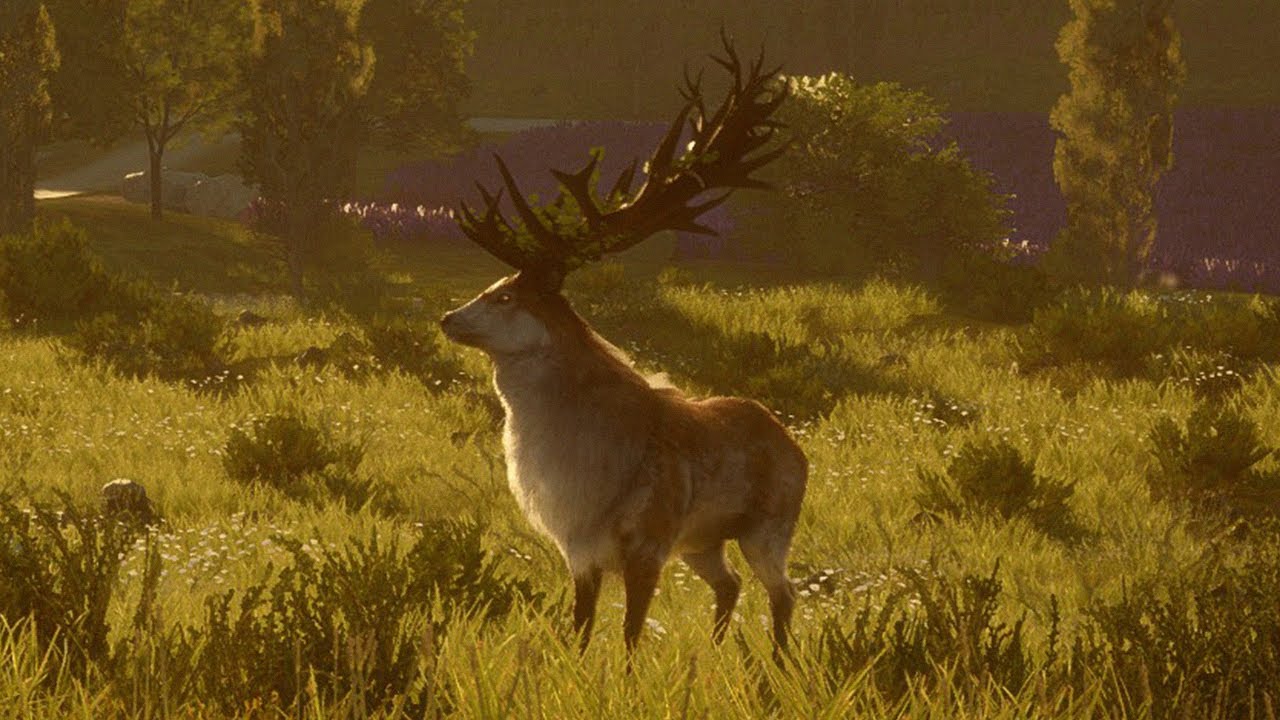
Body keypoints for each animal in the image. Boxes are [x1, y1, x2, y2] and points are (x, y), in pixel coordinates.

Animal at [439, 36, 808, 663]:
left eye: (507, 294)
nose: (447, 318)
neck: (584, 474)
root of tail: (798, 449)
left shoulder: (649, 544)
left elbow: (632, 636)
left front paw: (630, 677)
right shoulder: (580, 551)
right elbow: (582, 630)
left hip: (769, 527)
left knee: (783, 594)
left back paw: (781, 662)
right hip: (703, 543)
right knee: (731, 583)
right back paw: (714, 654)